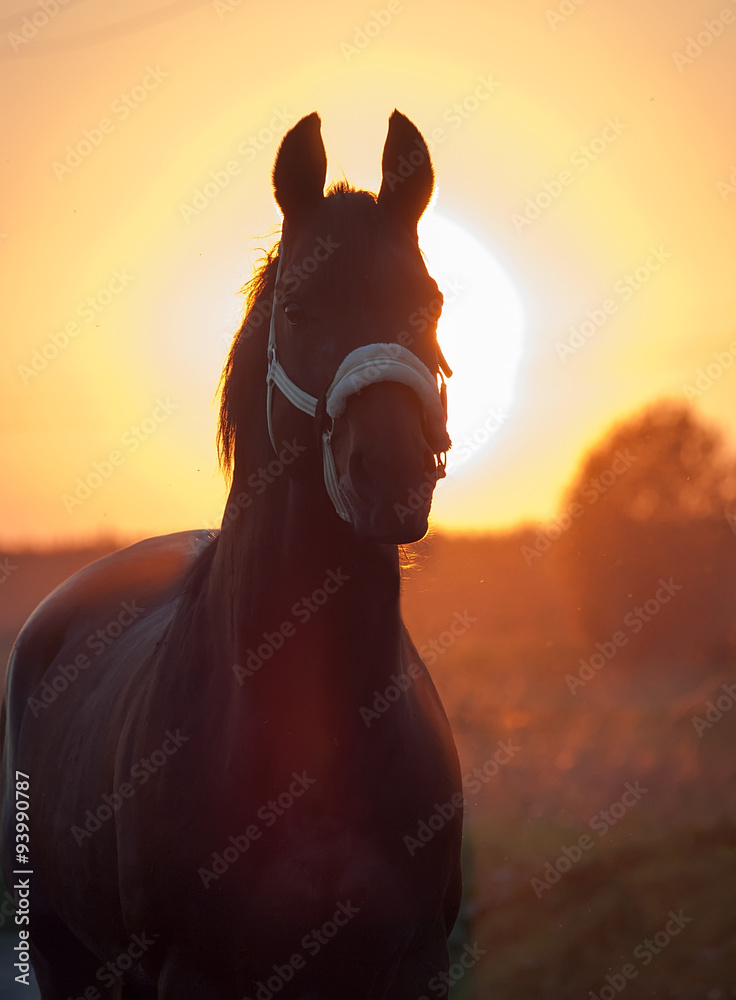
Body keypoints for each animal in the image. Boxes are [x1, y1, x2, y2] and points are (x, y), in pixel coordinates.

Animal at [0, 110, 463, 998]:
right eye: (297, 306)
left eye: (431, 301)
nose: (391, 473)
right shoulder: (190, 972)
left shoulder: (411, 966)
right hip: (64, 955)